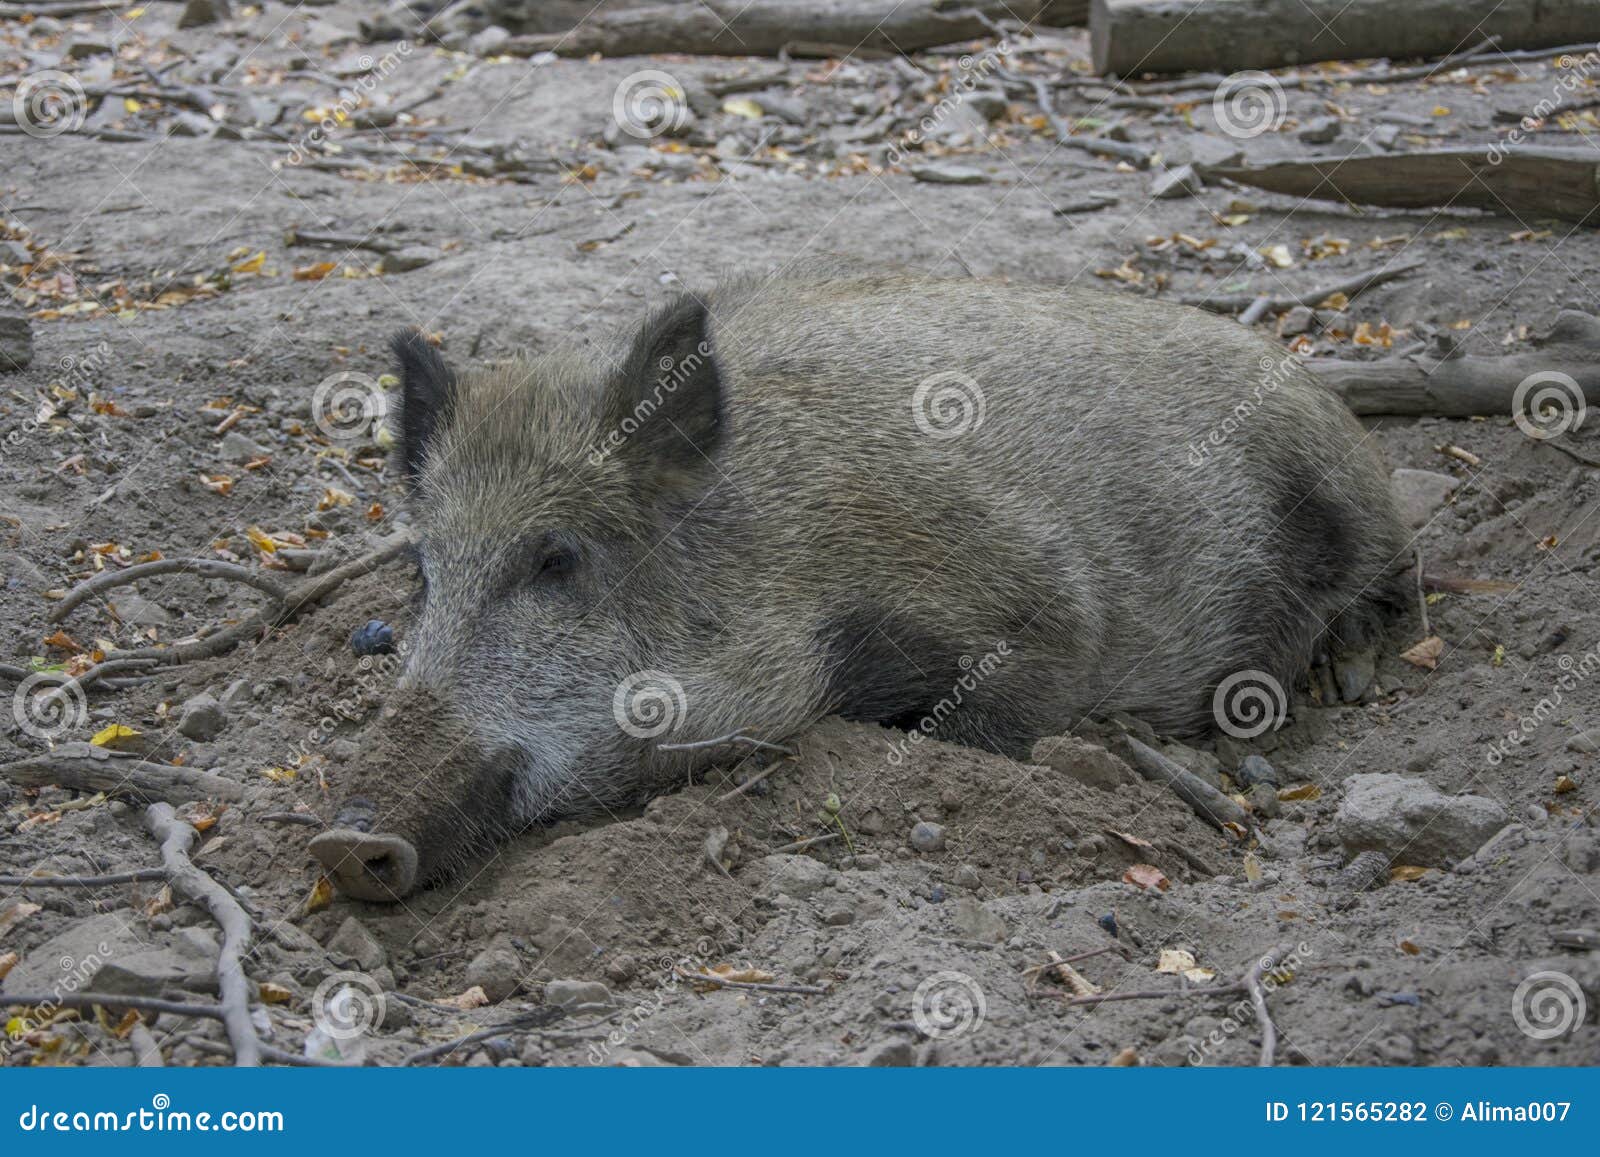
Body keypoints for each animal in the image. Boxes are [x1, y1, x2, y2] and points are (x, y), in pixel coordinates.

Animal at [309, 263, 1407, 899]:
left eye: (557, 558)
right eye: (422, 572)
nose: (340, 842)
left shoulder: (1047, 607)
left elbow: (987, 720)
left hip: (1347, 500)